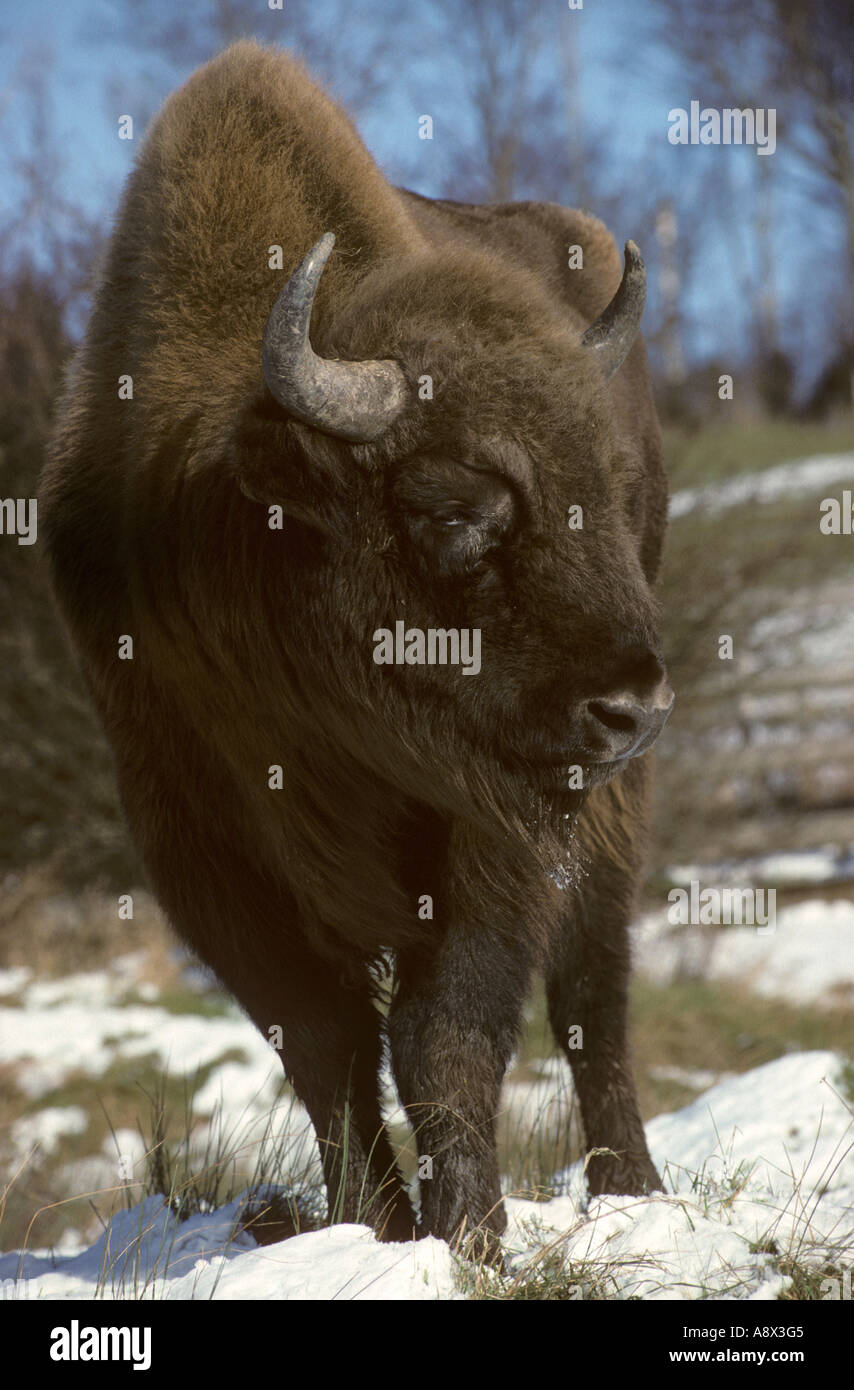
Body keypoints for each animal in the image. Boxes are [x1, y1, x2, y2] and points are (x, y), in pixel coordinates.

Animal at [41, 41, 673, 1253]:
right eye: (450, 507)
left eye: (610, 497)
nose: (631, 706)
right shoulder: (196, 836)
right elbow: (322, 1040)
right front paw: (369, 1229)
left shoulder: (493, 823)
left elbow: (442, 1031)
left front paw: (466, 1235)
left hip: (603, 815)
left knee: (594, 986)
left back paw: (635, 1192)